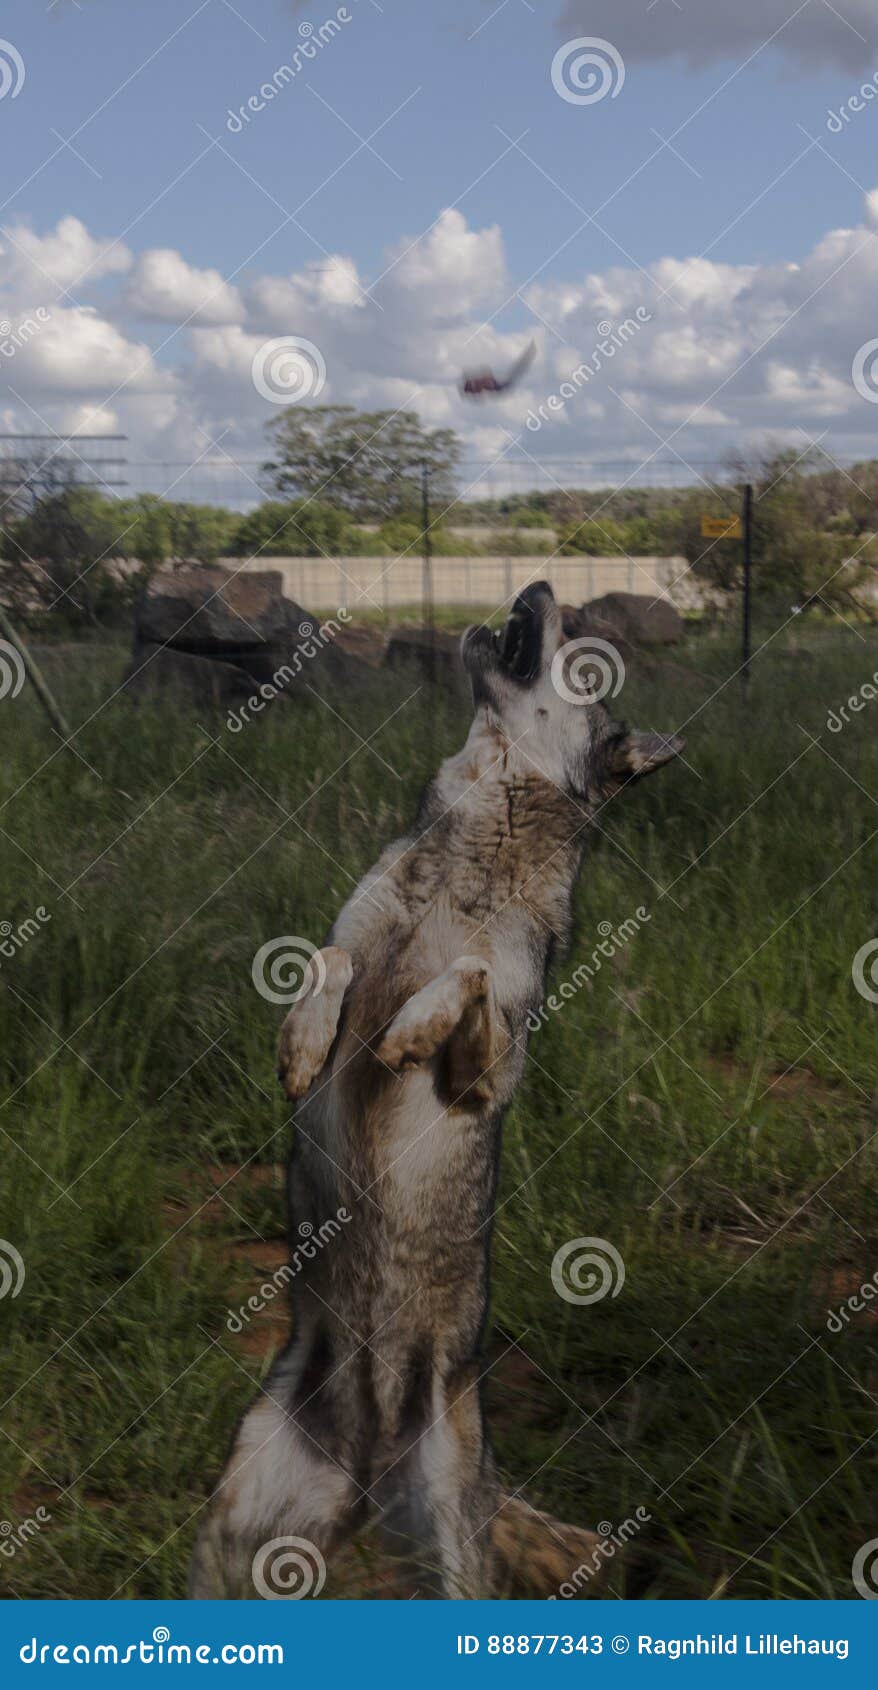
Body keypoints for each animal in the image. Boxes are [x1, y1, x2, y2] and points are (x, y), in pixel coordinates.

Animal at [190, 581, 682, 1599]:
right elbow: (332, 958)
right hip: (226, 1544)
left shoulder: (489, 1076)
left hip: (451, 1554)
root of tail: (368, 1471)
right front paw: (306, 1048)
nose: (535, 588)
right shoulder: (345, 939)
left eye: (586, 665)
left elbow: (468, 975)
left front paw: (409, 1031)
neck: (475, 843)